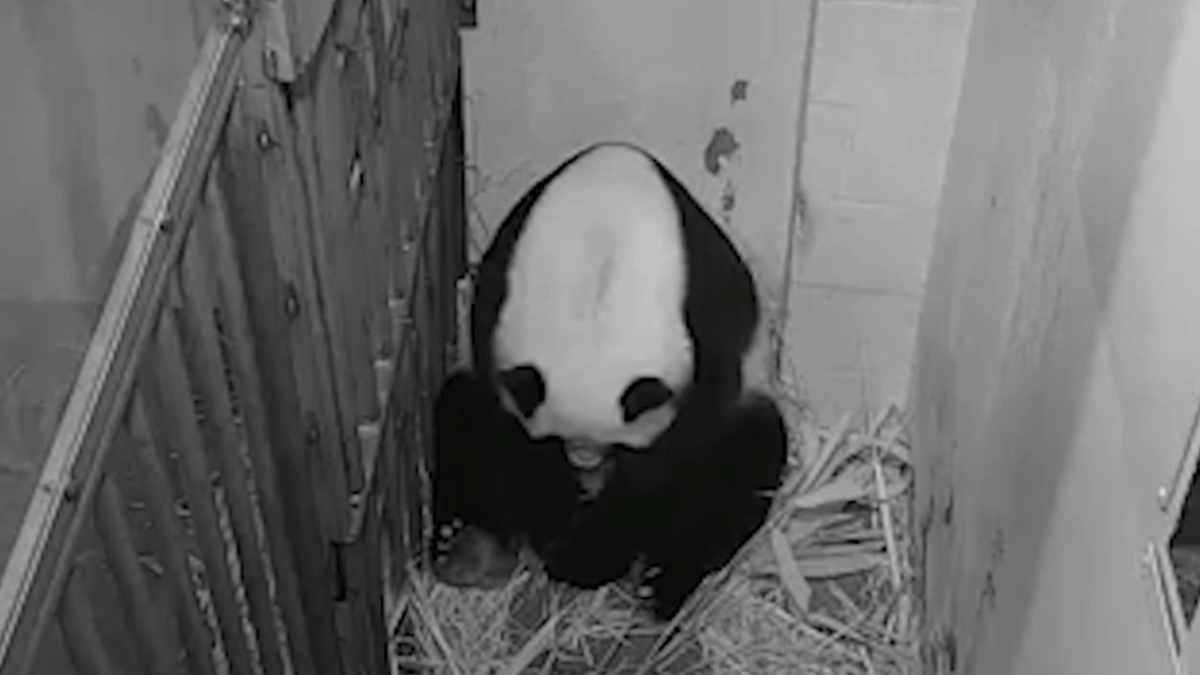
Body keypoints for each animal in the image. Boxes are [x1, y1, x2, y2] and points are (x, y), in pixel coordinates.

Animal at [429, 141, 788, 620]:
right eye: (557, 438)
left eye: (619, 442)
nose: (584, 462)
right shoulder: (497, 307)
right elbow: (506, 431)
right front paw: (554, 522)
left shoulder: (705, 322)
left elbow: (674, 453)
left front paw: (588, 555)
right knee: (460, 414)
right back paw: (465, 543)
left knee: (744, 464)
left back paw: (661, 583)